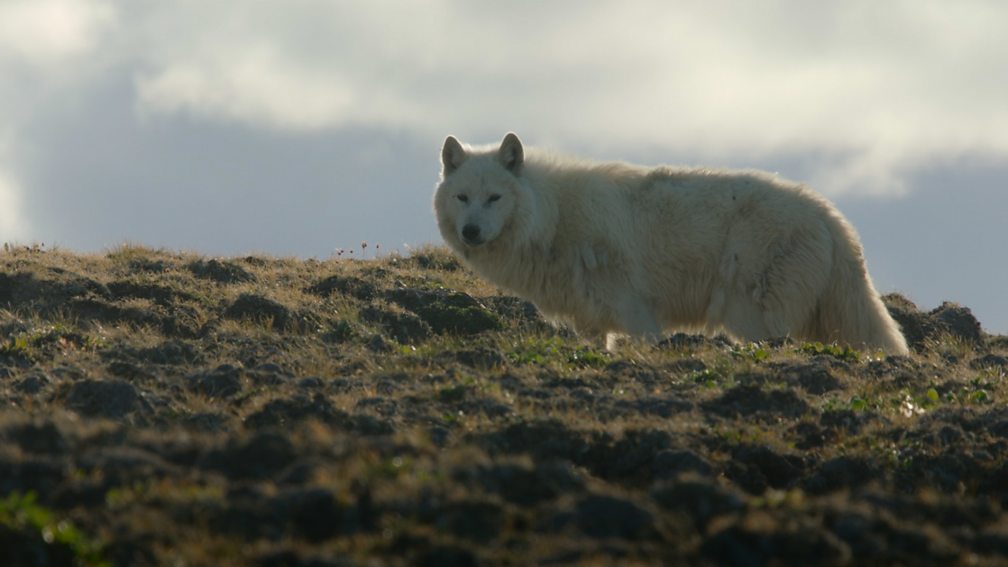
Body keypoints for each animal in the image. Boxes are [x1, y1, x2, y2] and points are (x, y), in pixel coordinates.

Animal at [433, 133, 909, 355]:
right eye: (463, 198)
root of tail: (830, 215)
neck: (552, 219)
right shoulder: (590, 323)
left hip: (750, 317)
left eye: (495, 198)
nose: (471, 232)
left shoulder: (638, 314)